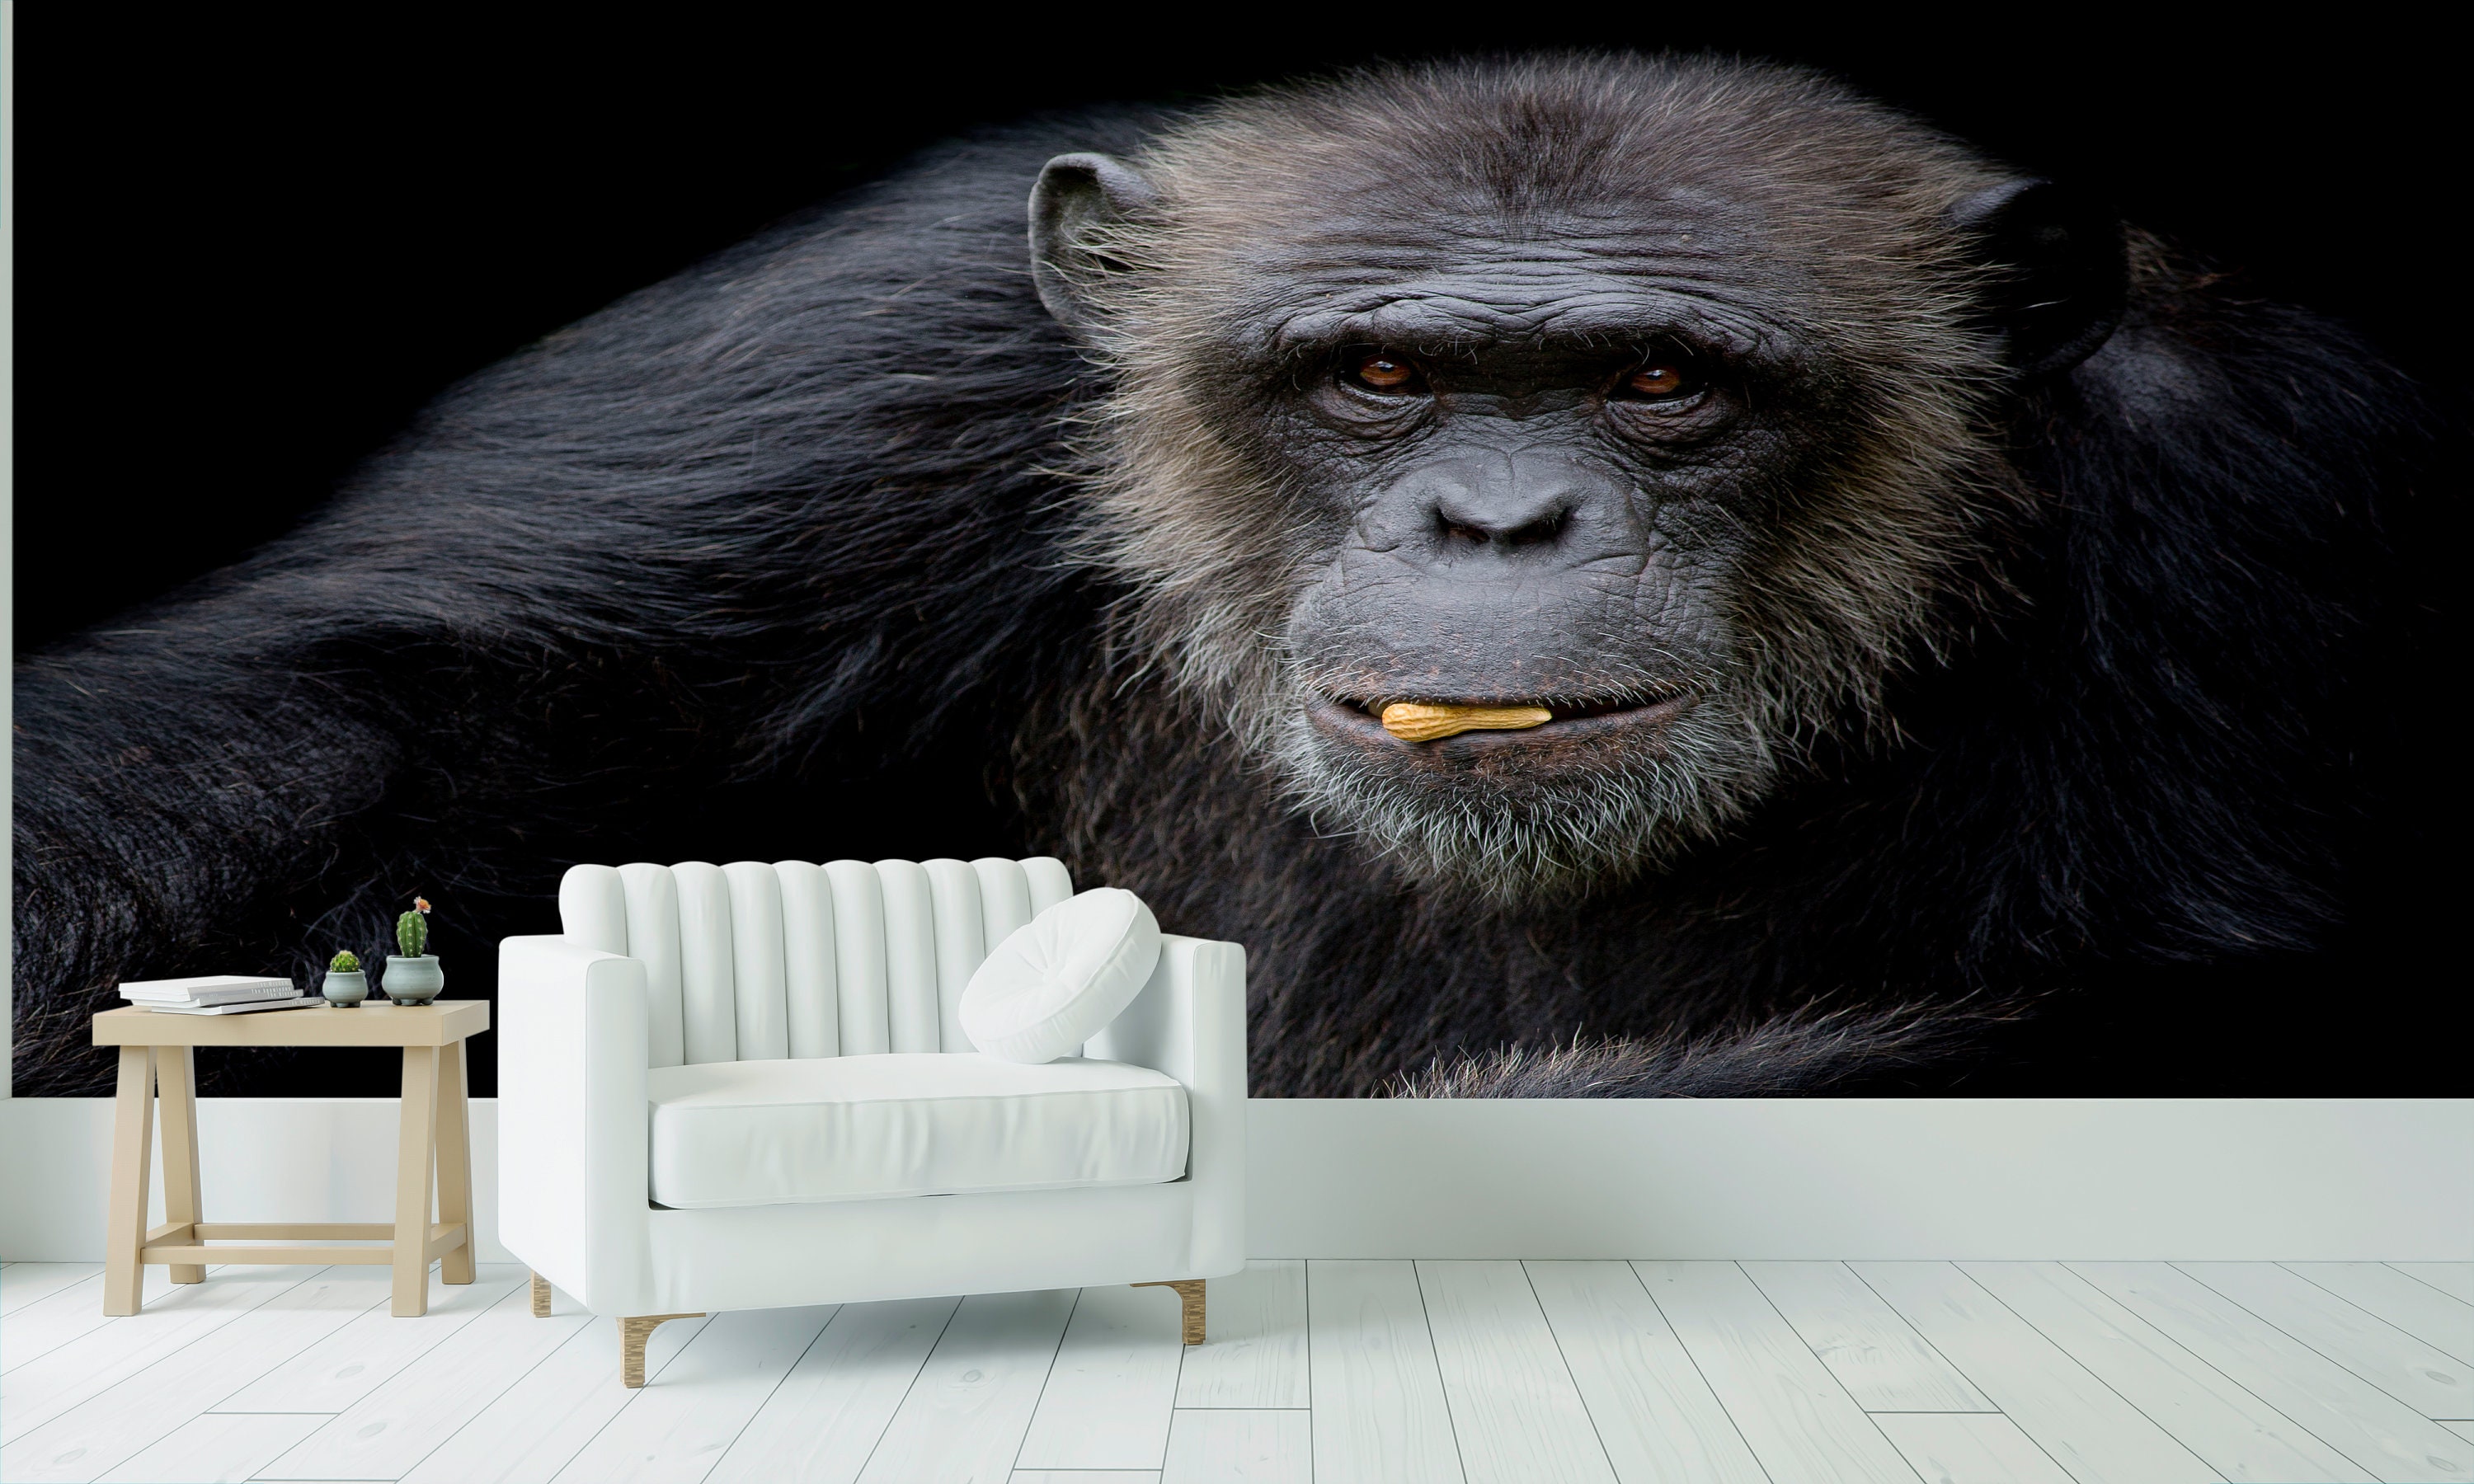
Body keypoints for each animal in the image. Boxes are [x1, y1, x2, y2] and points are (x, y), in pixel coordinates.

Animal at [10, 55, 2438, 1098]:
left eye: (1662, 378)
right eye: (1375, 370)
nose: (1497, 520)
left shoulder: (2265, 510)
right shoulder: (868, 354)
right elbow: (361, 705)